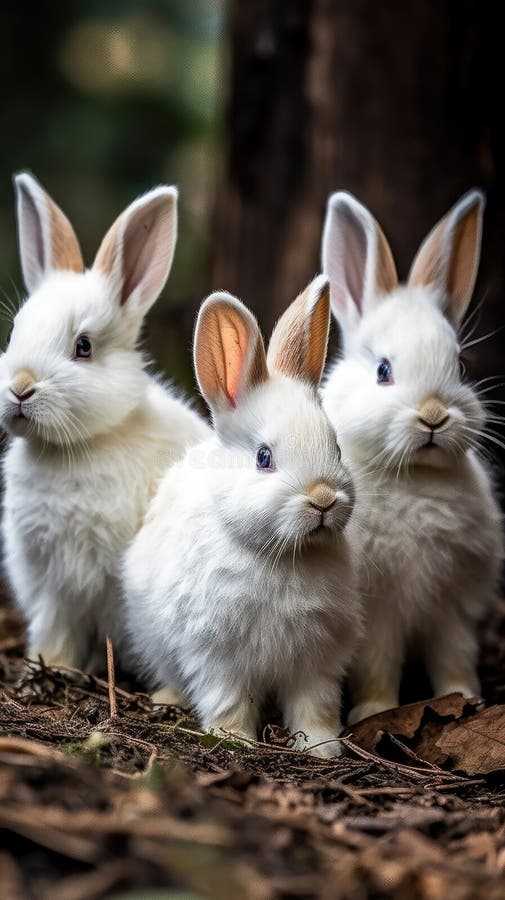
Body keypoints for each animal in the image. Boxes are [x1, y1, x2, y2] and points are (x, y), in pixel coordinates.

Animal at [0, 172, 209, 671]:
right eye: (14, 331)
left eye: (84, 347)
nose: (20, 387)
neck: (75, 447)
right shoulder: (54, 586)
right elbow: (56, 629)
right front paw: (51, 663)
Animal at [123, 275, 363, 757]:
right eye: (264, 457)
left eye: (336, 447)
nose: (323, 499)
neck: (283, 554)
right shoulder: (218, 656)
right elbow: (229, 699)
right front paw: (234, 740)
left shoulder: (317, 660)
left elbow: (315, 705)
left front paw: (322, 747)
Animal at [321, 188, 503, 725]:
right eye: (383, 370)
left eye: (460, 365)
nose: (434, 415)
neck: (414, 478)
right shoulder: (379, 610)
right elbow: (378, 661)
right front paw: (374, 711)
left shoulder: (452, 606)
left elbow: (454, 655)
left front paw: (465, 697)